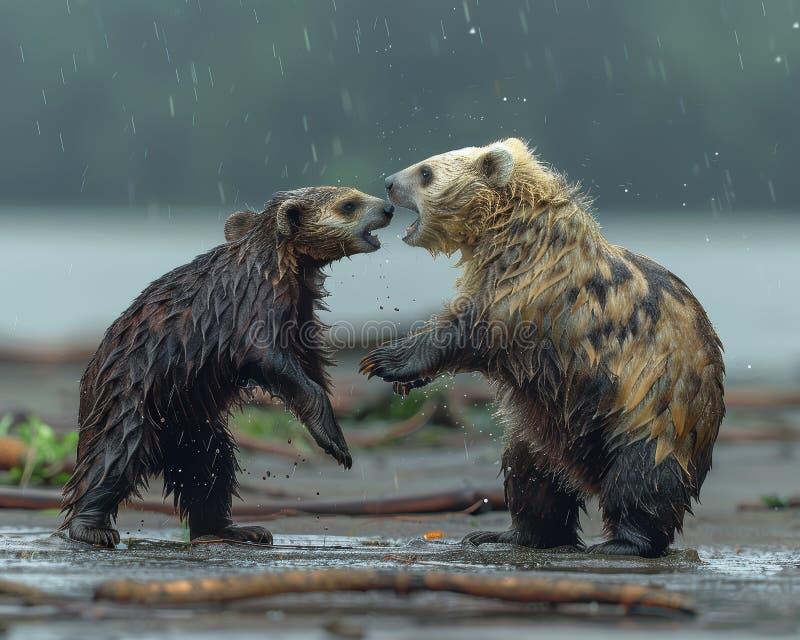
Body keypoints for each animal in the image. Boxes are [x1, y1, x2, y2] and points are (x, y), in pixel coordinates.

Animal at [61, 186, 394, 547]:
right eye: (349, 204)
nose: (388, 208)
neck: (283, 269)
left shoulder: (300, 310)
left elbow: (311, 362)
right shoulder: (248, 312)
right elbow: (274, 363)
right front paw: (335, 443)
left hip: (189, 424)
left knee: (210, 467)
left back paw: (238, 528)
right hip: (132, 399)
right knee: (114, 454)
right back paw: (92, 528)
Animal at [361, 138, 725, 557]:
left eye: (426, 171)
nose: (389, 183)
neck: (506, 228)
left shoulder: (531, 290)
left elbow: (469, 331)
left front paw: (385, 359)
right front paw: (404, 380)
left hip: (652, 408)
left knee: (642, 475)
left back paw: (623, 542)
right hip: (545, 431)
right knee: (529, 473)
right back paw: (507, 534)